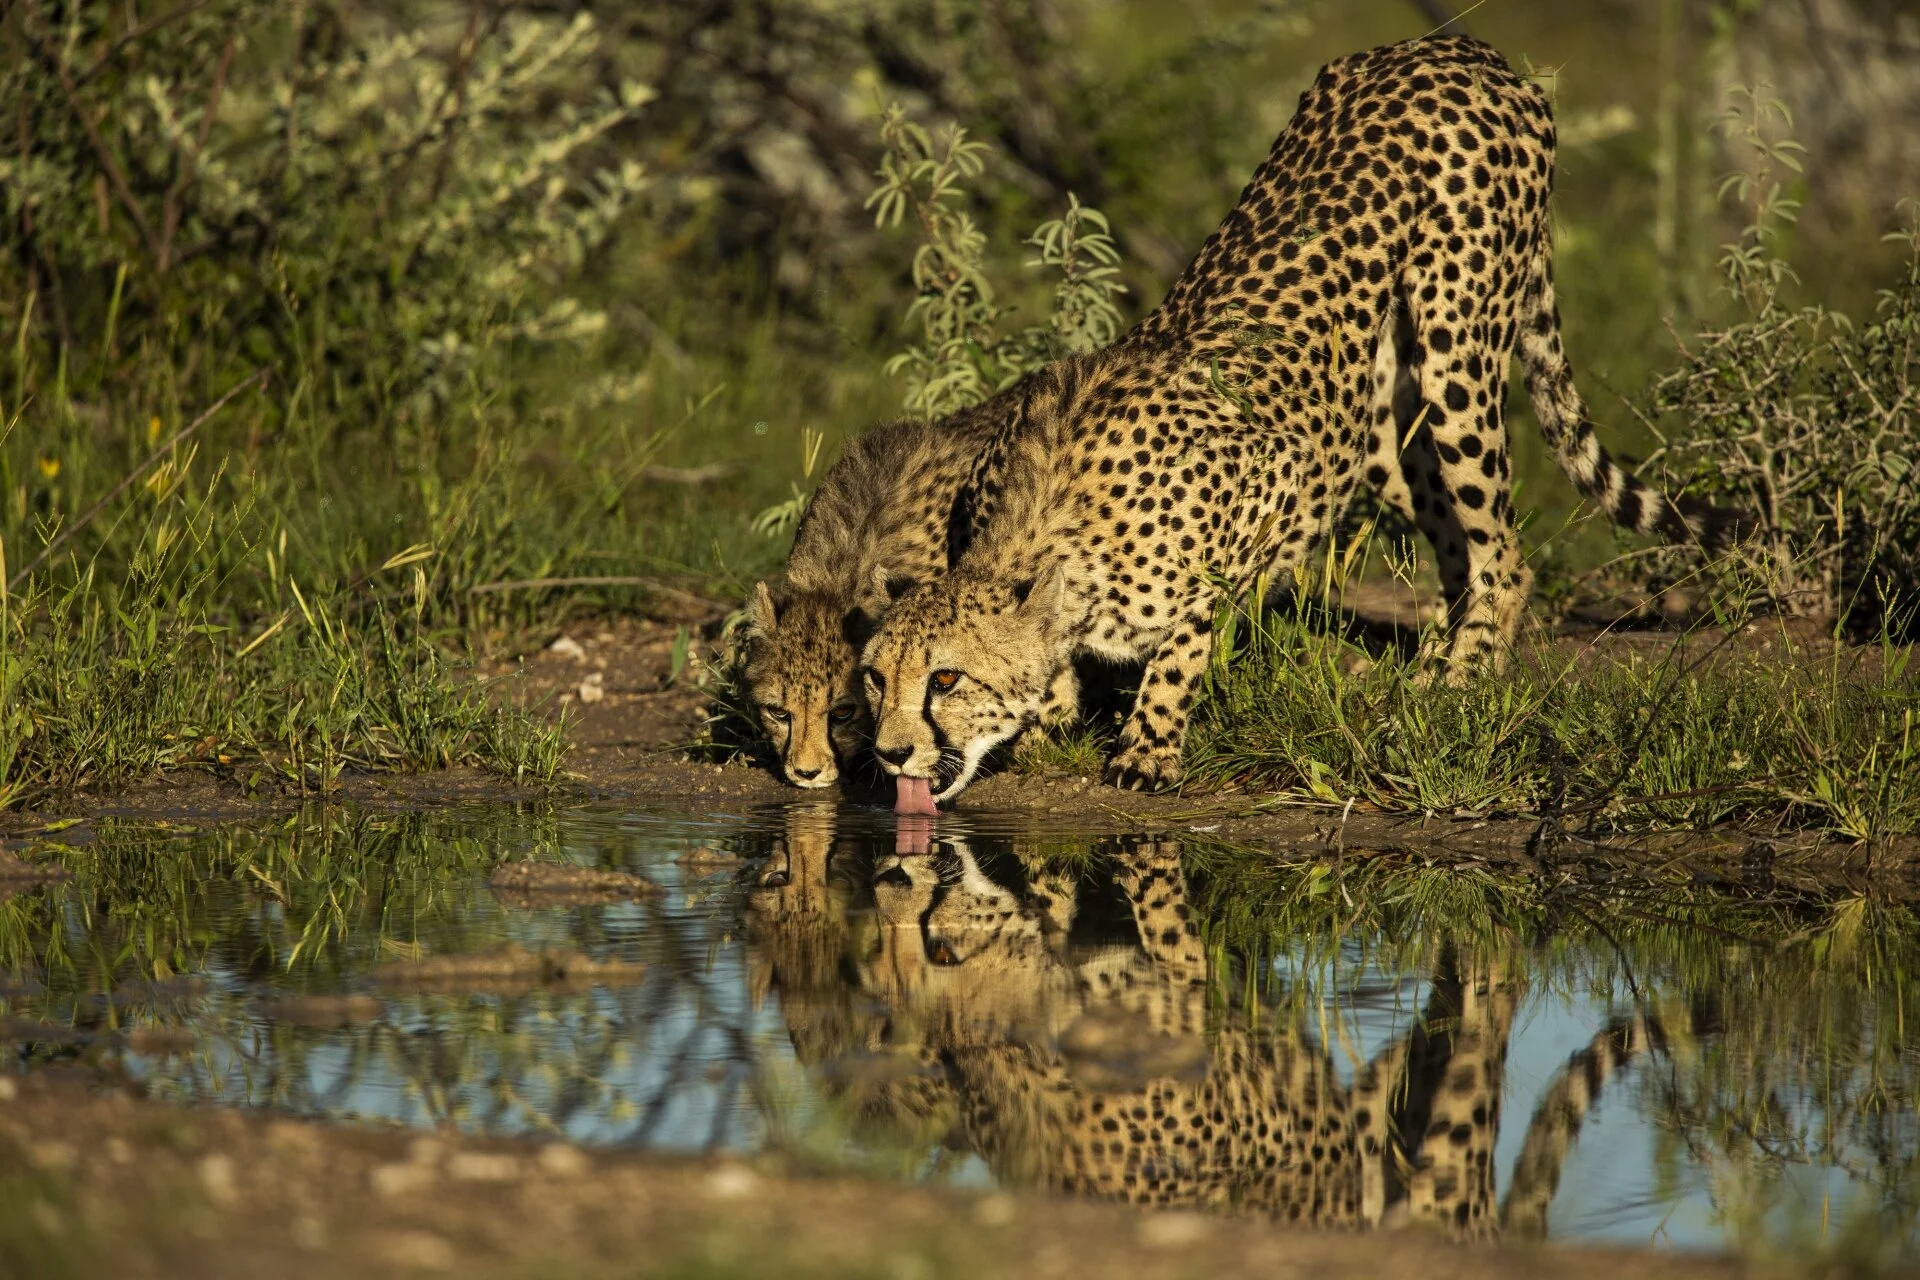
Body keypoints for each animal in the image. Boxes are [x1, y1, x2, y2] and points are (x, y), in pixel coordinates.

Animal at [860, 33, 1750, 801]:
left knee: (1502, 551)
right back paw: (1428, 671)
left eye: (944, 679)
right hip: (1385, 424)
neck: (1049, 535)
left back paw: (1465, 682)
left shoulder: (1272, 480)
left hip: (1457, 342)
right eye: (875, 677)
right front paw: (1054, 719)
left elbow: (1187, 636)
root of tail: (1454, 46)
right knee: (1455, 544)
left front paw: (1148, 748)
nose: (889, 753)